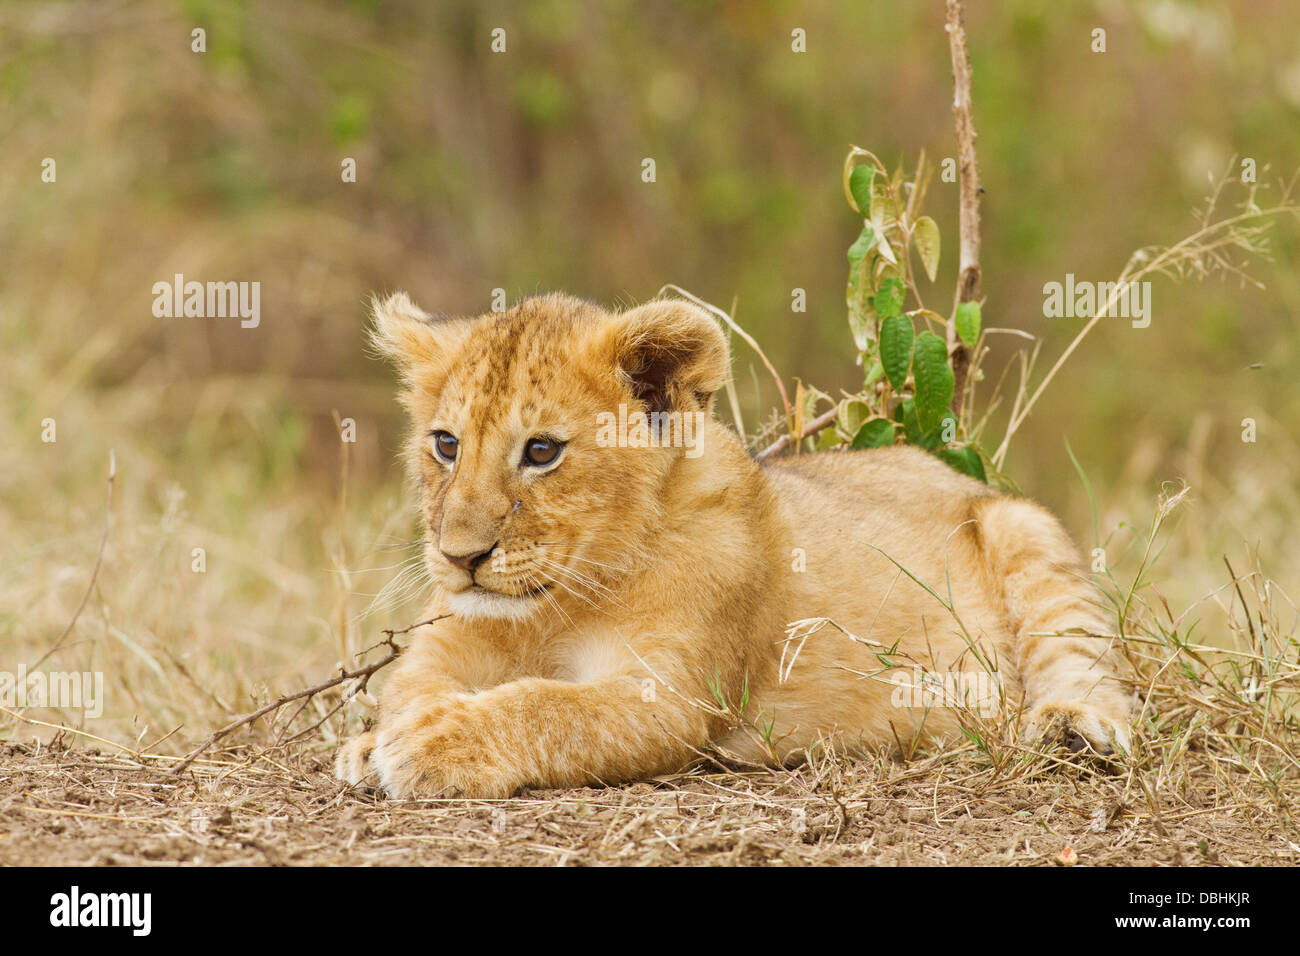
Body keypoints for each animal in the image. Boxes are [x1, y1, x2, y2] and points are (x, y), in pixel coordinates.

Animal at [335, 292, 1132, 798]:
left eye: (541, 451)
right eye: (445, 444)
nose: (459, 556)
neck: (556, 606)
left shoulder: (672, 699)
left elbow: (546, 708)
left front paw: (429, 744)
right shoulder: (451, 642)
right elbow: (408, 687)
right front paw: (377, 742)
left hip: (1022, 526)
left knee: (1085, 665)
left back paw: (1072, 731)